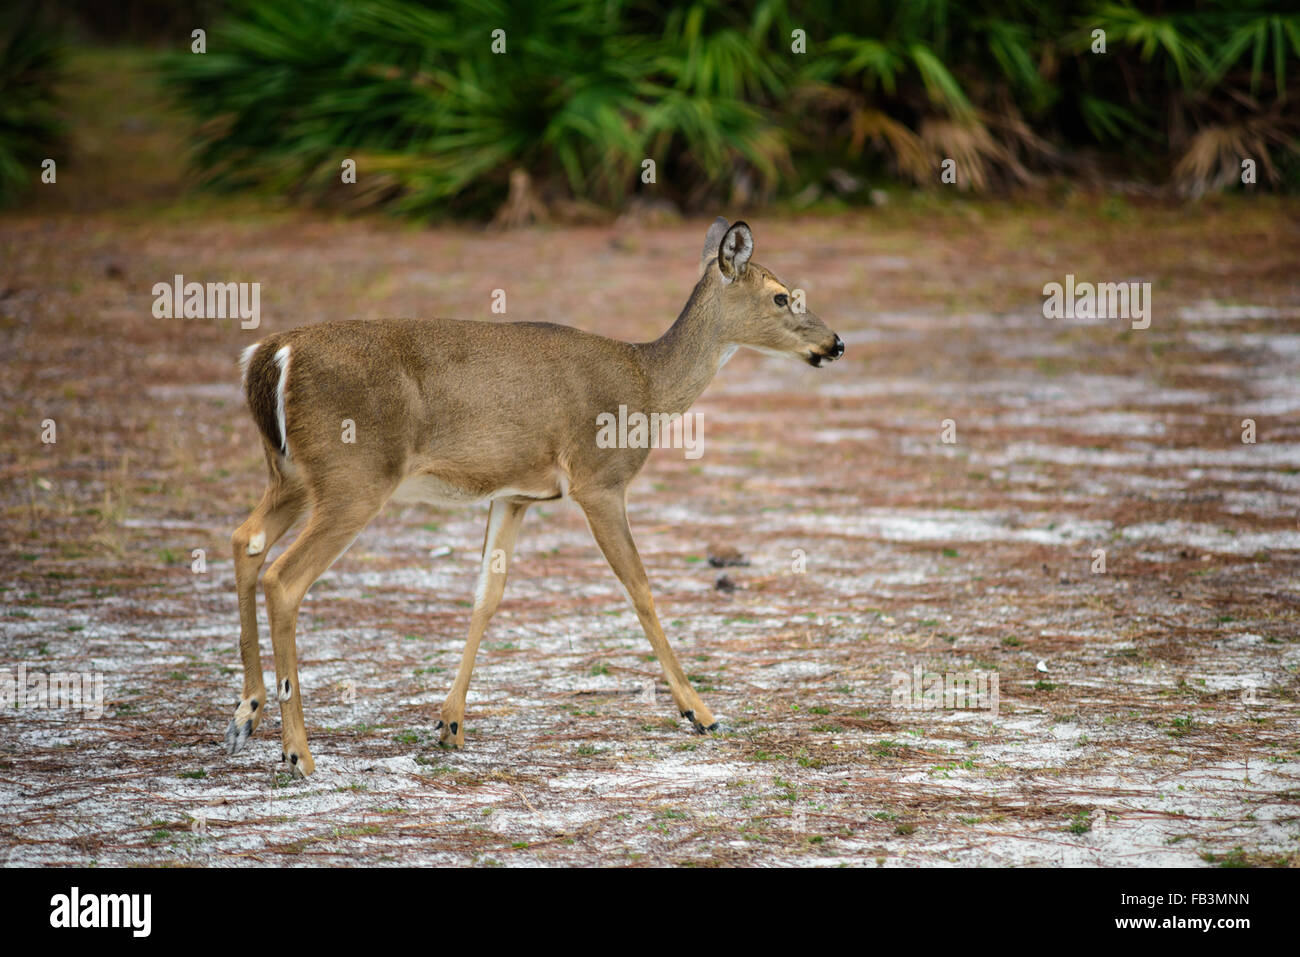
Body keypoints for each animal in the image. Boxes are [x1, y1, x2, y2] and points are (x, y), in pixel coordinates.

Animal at [226, 218, 844, 776]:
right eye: (781, 295)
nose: (835, 342)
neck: (648, 386)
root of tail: (271, 354)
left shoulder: (514, 493)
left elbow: (487, 594)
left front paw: (450, 723)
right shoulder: (599, 480)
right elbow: (640, 587)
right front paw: (701, 712)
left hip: (292, 475)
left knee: (245, 539)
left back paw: (246, 715)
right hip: (354, 476)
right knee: (284, 577)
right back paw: (298, 753)